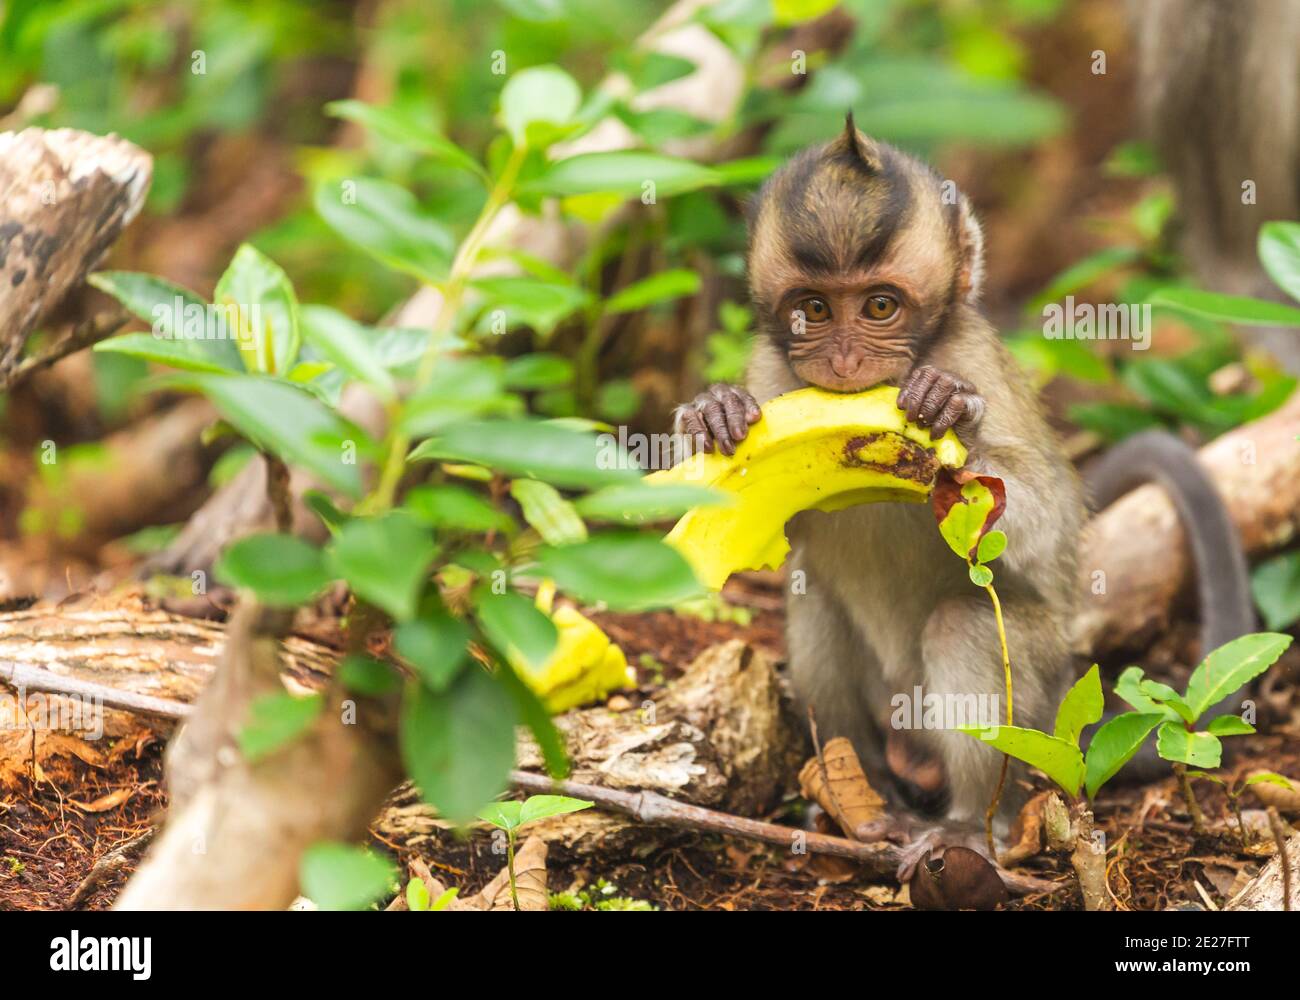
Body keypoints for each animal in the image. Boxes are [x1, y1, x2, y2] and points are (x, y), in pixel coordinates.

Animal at [672, 116, 1256, 878]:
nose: (845, 361)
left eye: (881, 306)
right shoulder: (772, 372)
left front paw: (954, 418)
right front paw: (713, 412)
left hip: (1037, 698)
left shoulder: (976, 358)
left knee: (964, 625)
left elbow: (1052, 524)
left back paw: (971, 827)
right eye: (814, 309)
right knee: (815, 600)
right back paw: (864, 797)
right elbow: (786, 534)